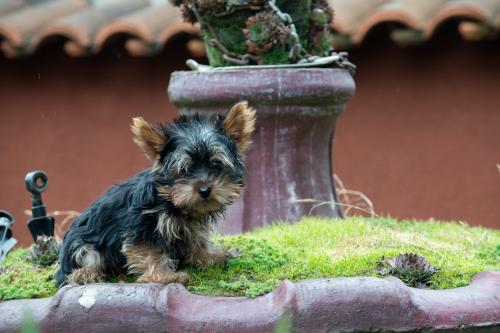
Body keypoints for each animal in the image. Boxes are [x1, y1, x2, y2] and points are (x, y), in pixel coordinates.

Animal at [55, 100, 254, 286]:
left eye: (215, 164)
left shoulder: (192, 226)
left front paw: (210, 256)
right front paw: (162, 276)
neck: (171, 200)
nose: (205, 190)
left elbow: (198, 239)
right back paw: (86, 274)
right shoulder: (143, 225)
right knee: (82, 262)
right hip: (82, 247)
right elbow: (150, 250)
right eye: (184, 170)